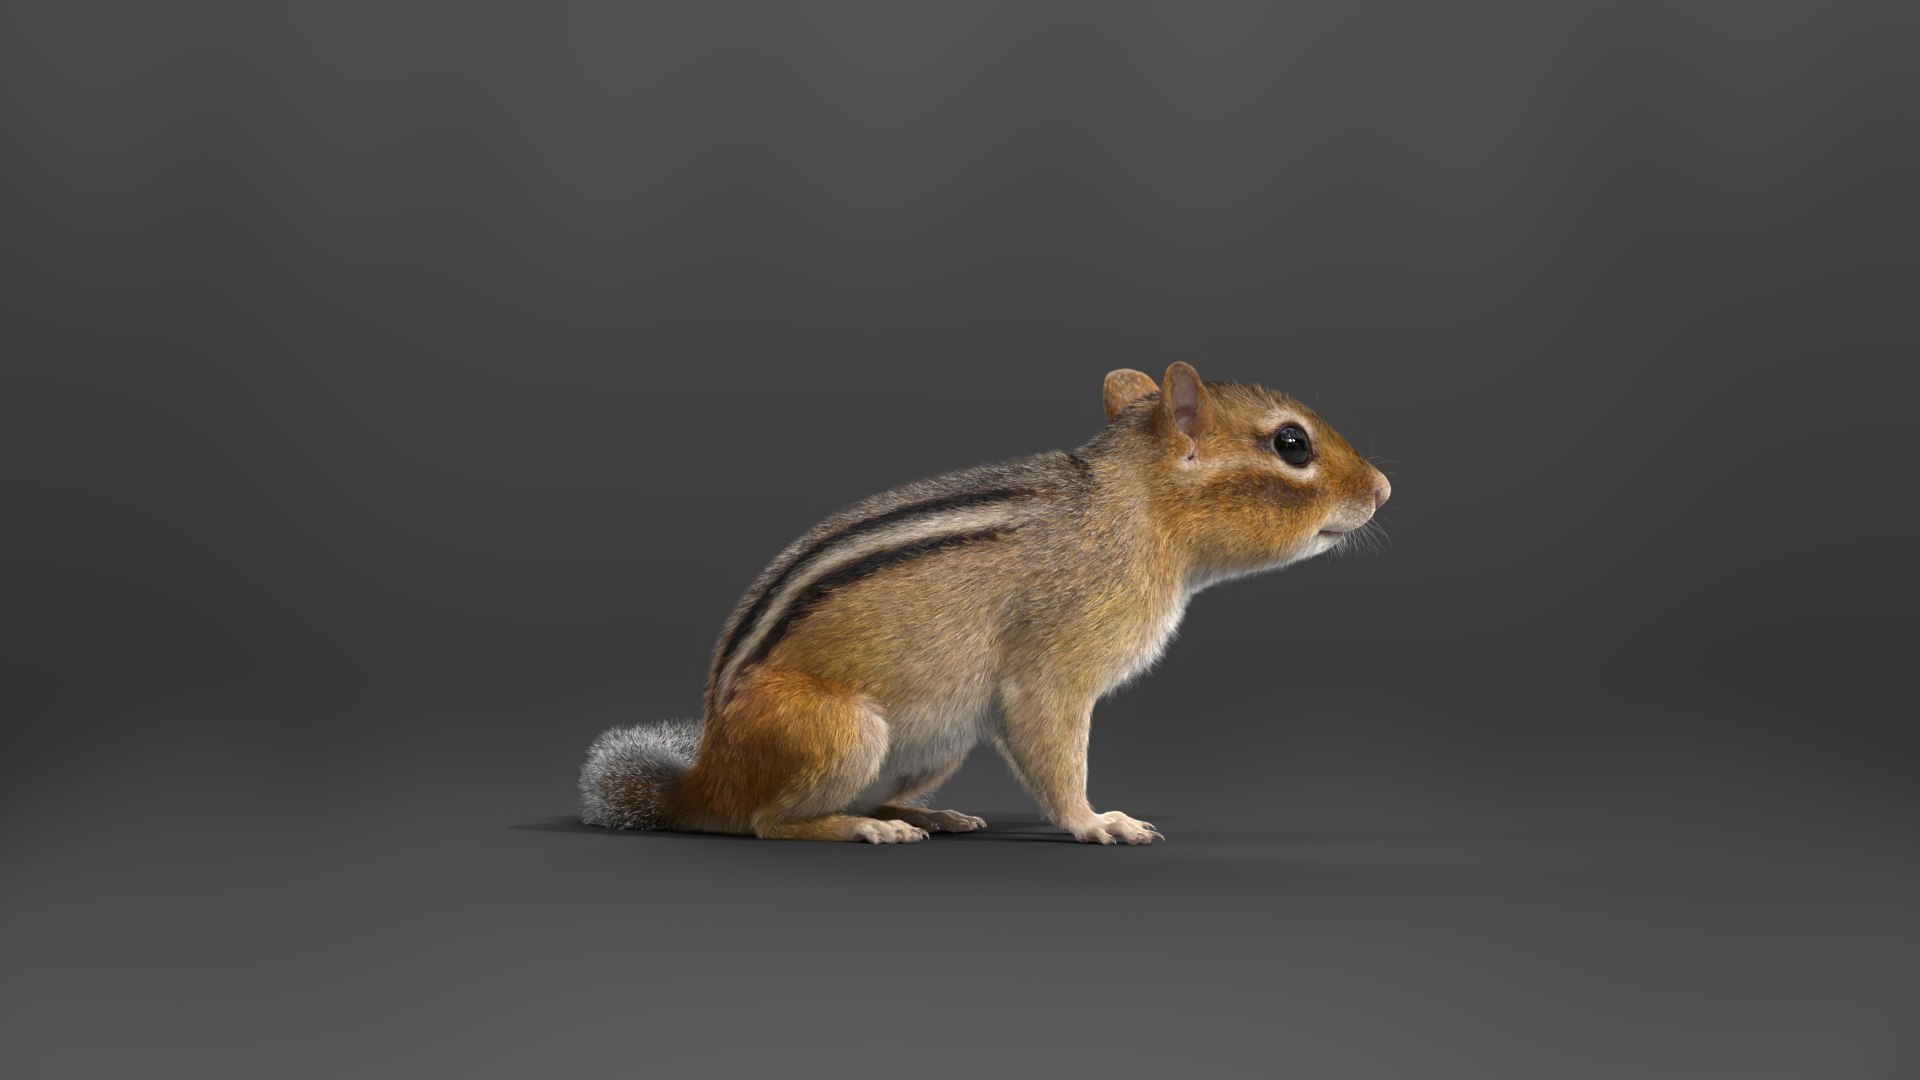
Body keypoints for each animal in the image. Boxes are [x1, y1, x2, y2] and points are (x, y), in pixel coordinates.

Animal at [579, 363, 1390, 844]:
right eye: (1292, 444)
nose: (1384, 489)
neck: (1132, 506)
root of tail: (701, 778)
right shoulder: (1054, 671)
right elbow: (1056, 752)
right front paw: (1096, 821)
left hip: (939, 742)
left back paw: (923, 812)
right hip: (845, 733)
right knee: (765, 823)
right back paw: (860, 829)